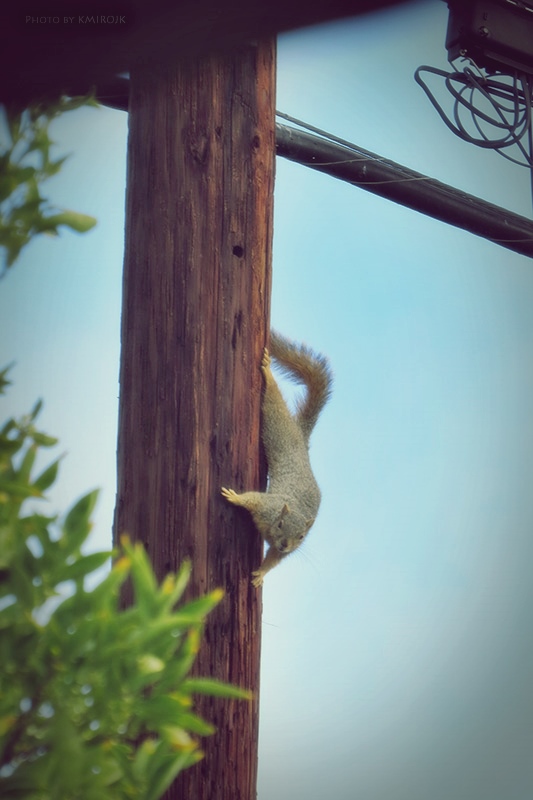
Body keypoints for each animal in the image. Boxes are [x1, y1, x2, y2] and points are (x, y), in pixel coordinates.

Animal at [221, 330, 332, 587]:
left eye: (301, 537)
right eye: (280, 524)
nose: (284, 544)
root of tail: (301, 436)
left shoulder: (285, 550)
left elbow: (273, 559)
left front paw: (260, 574)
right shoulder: (267, 507)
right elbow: (252, 499)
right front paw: (235, 497)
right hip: (279, 428)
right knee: (273, 400)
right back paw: (269, 374)